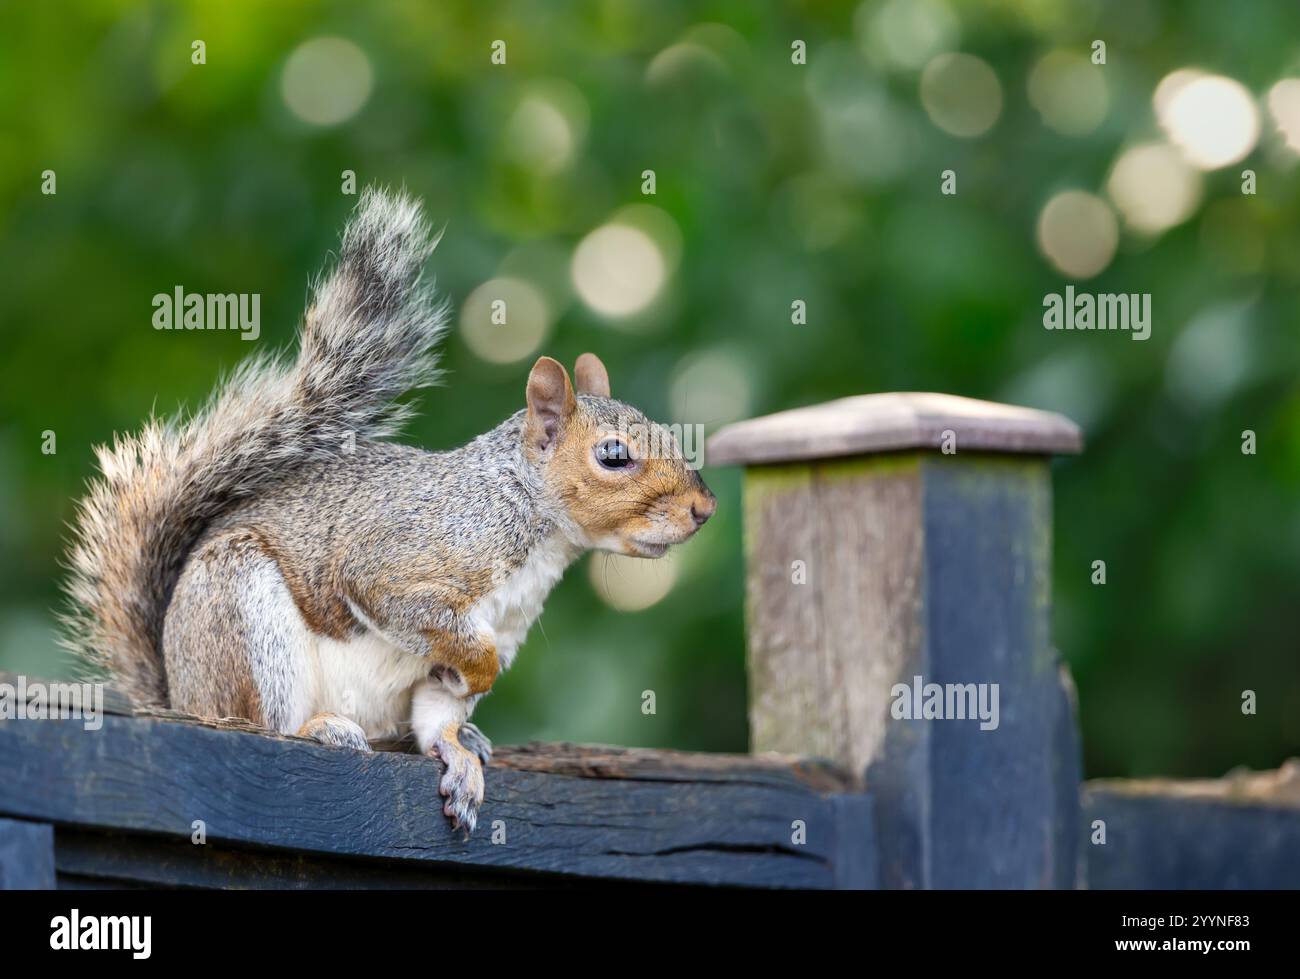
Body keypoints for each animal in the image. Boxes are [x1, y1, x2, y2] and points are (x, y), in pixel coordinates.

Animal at [60, 187, 716, 833]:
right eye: (614, 455)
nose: (704, 508)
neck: (530, 521)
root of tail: (178, 694)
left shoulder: (498, 631)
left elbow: (440, 712)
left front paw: (456, 756)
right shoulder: (401, 561)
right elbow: (407, 608)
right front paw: (475, 676)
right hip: (241, 614)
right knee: (260, 723)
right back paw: (319, 728)